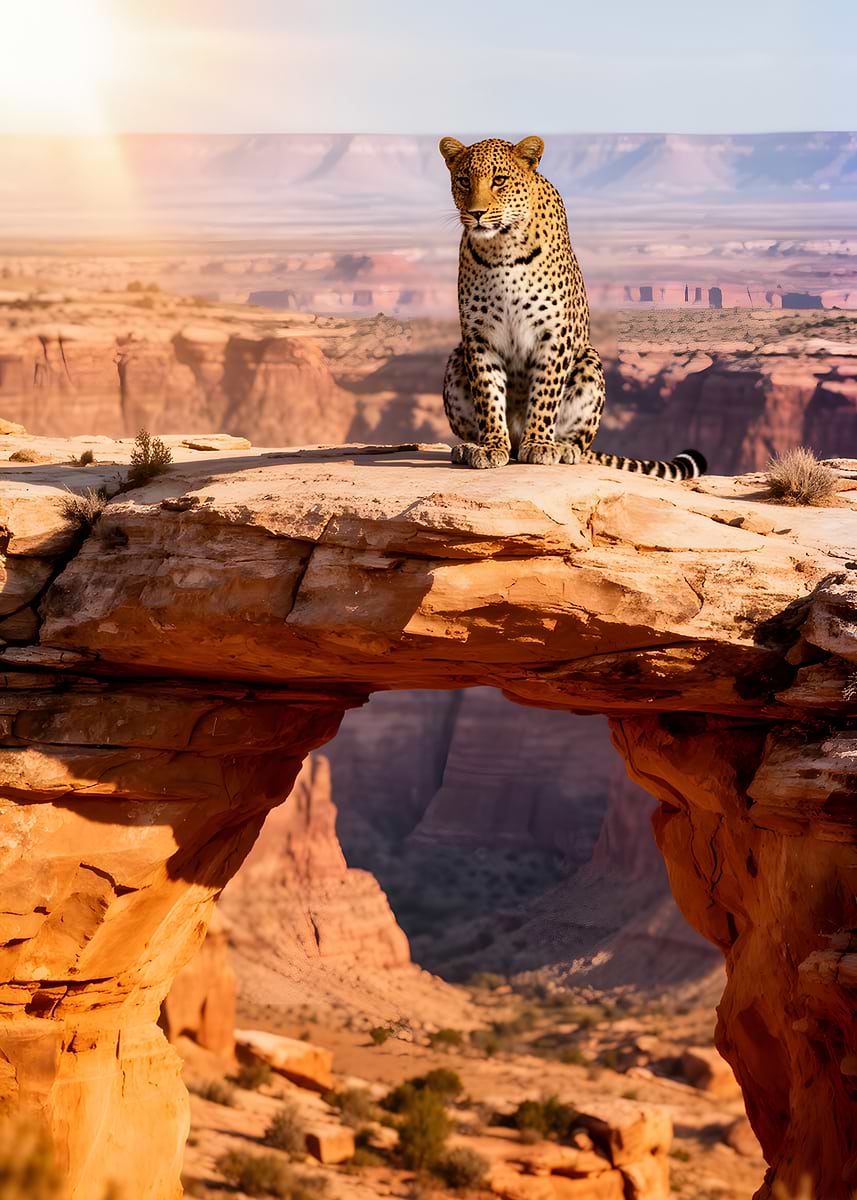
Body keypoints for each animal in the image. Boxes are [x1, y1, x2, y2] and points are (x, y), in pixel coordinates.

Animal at [438, 134, 706, 480]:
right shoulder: (478, 337)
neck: (501, 247)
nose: (477, 213)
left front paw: (539, 443)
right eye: (463, 181)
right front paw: (490, 446)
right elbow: (487, 394)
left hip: (590, 362)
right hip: (456, 360)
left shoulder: (555, 333)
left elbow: (545, 391)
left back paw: (561, 448)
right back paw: (471, 446)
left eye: (499, 180)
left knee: (580, 443)